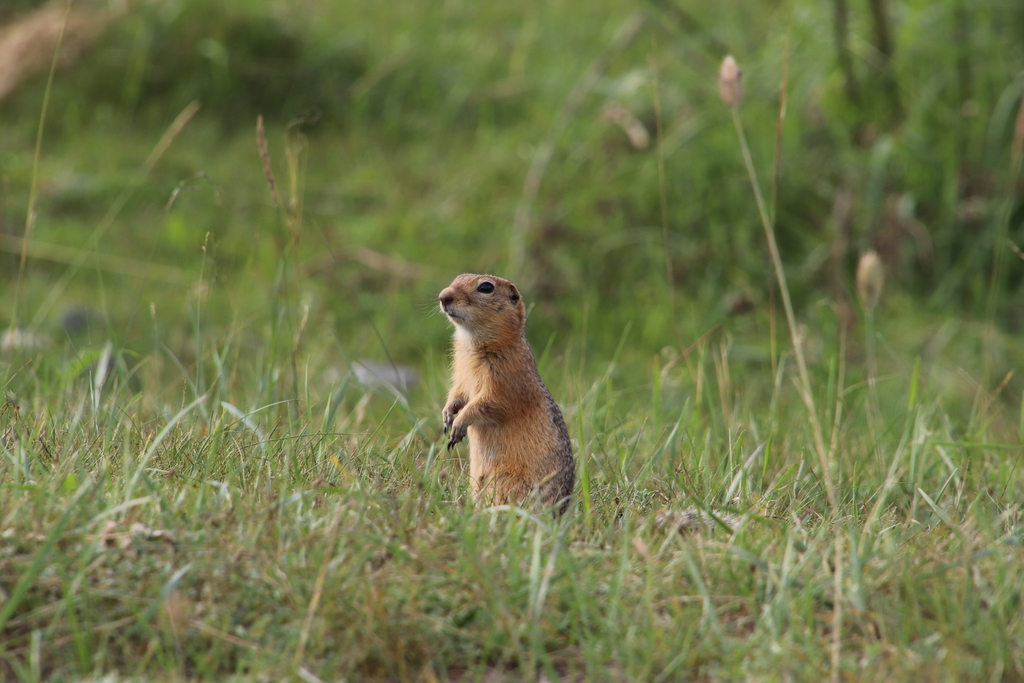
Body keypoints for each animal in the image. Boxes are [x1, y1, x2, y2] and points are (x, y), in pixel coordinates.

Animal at [438, 273, 575, 516]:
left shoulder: (505, 381)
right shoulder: (462, 375)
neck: (472, 344)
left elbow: (489, 403)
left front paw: (459, 424)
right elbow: (458, 393)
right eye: (457, 278)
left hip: (505, 480)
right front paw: (447, 414)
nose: (443, 297)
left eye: (486, 287)